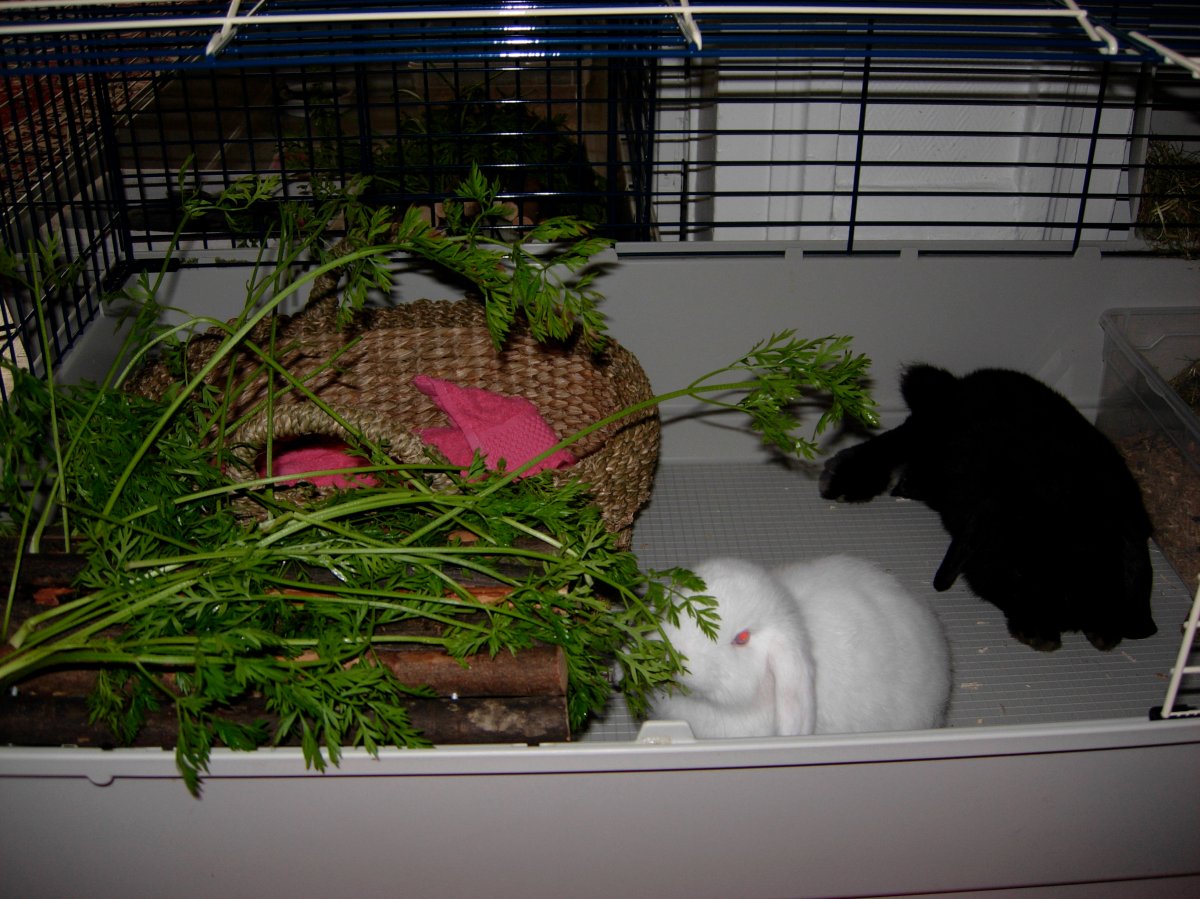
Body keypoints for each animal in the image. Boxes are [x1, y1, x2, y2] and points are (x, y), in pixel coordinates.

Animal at [819, 364, 1157, 652]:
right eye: (1018, 574)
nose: (1046, 632)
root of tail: (956, 384)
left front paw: (1104, 631)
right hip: (928, 430)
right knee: (897, 439)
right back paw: (847, 480)